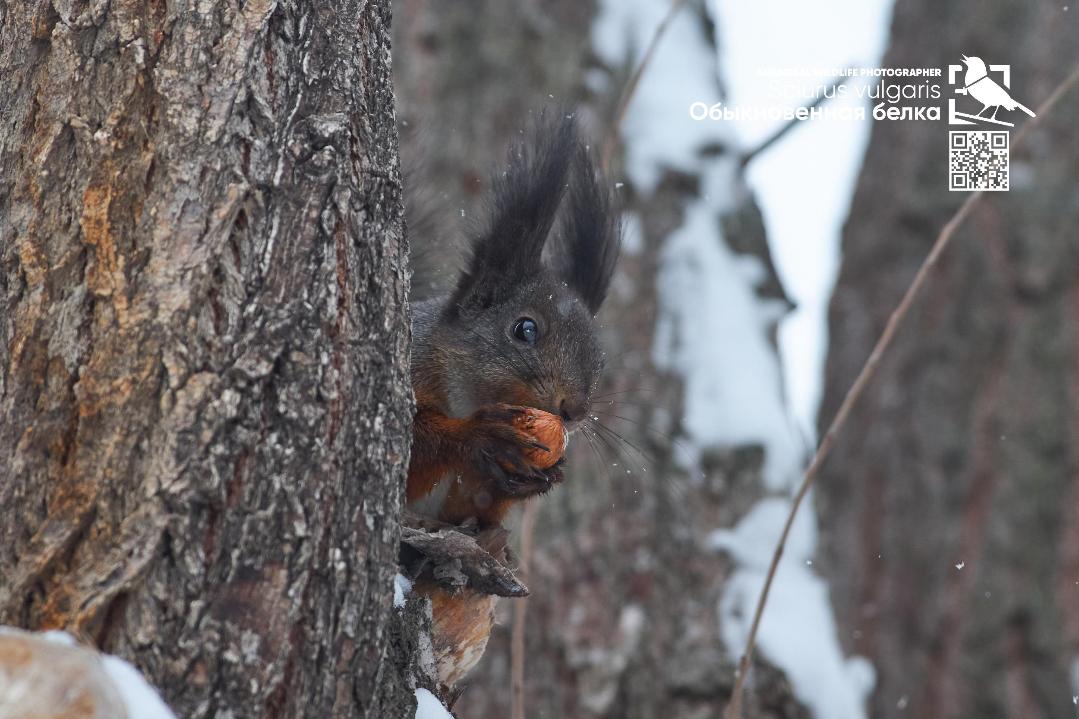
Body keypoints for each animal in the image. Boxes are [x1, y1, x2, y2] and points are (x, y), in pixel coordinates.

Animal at [405, 113, 621, 526]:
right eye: (525, 329)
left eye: (601, 359)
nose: (576, 412)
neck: (465, 399)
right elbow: (414, 445)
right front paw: (478, 435)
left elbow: (472, 511)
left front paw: (538, 478)